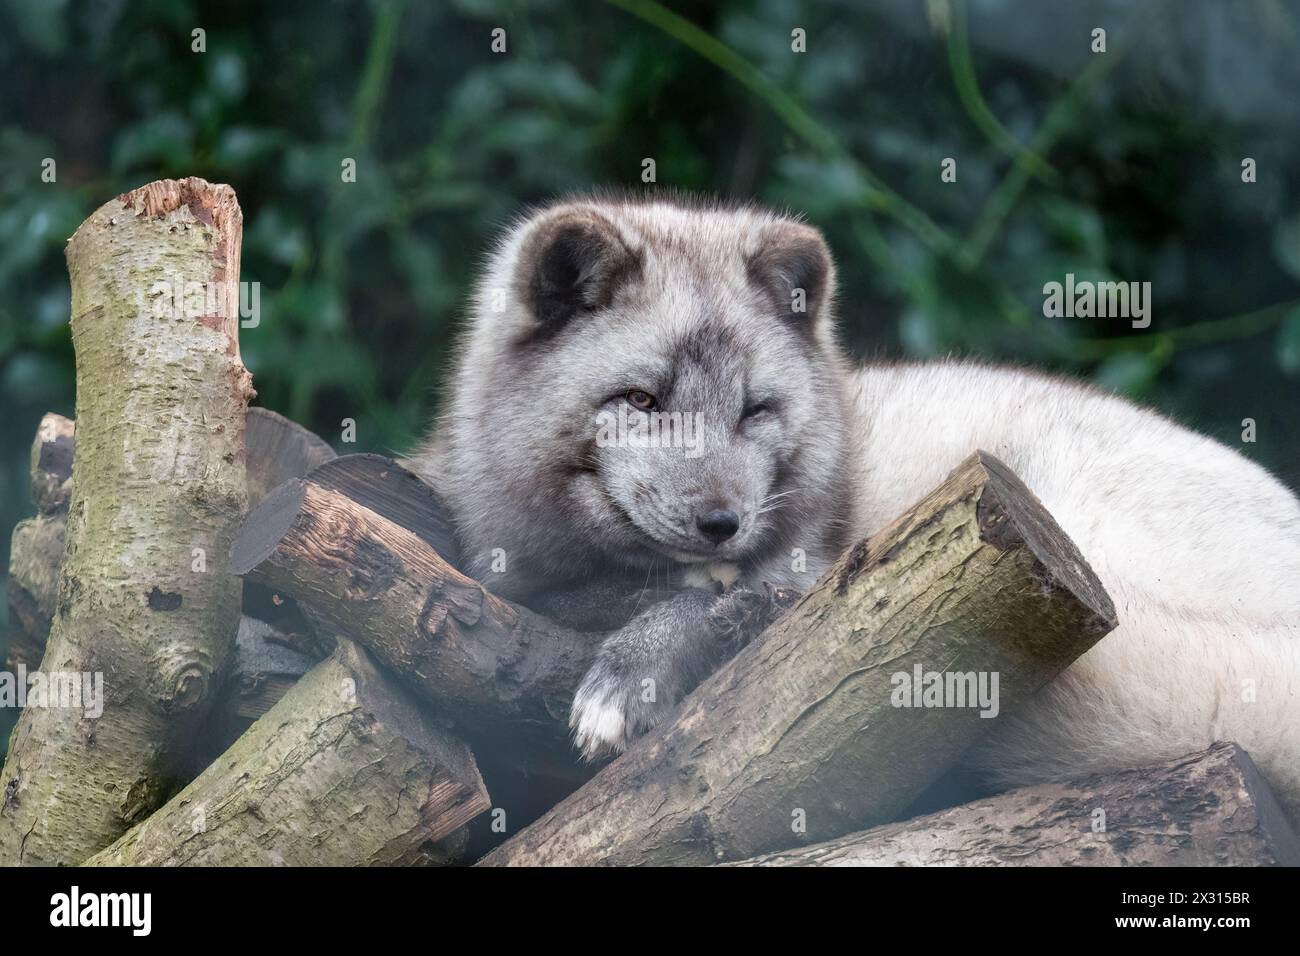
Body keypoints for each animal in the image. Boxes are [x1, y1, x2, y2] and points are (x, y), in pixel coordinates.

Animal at [410, 193, 1300, 818]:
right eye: (641, 399)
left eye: (756, 411)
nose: (721, 524)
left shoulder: (826, 577)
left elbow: (727, 603)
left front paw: (639, 667)